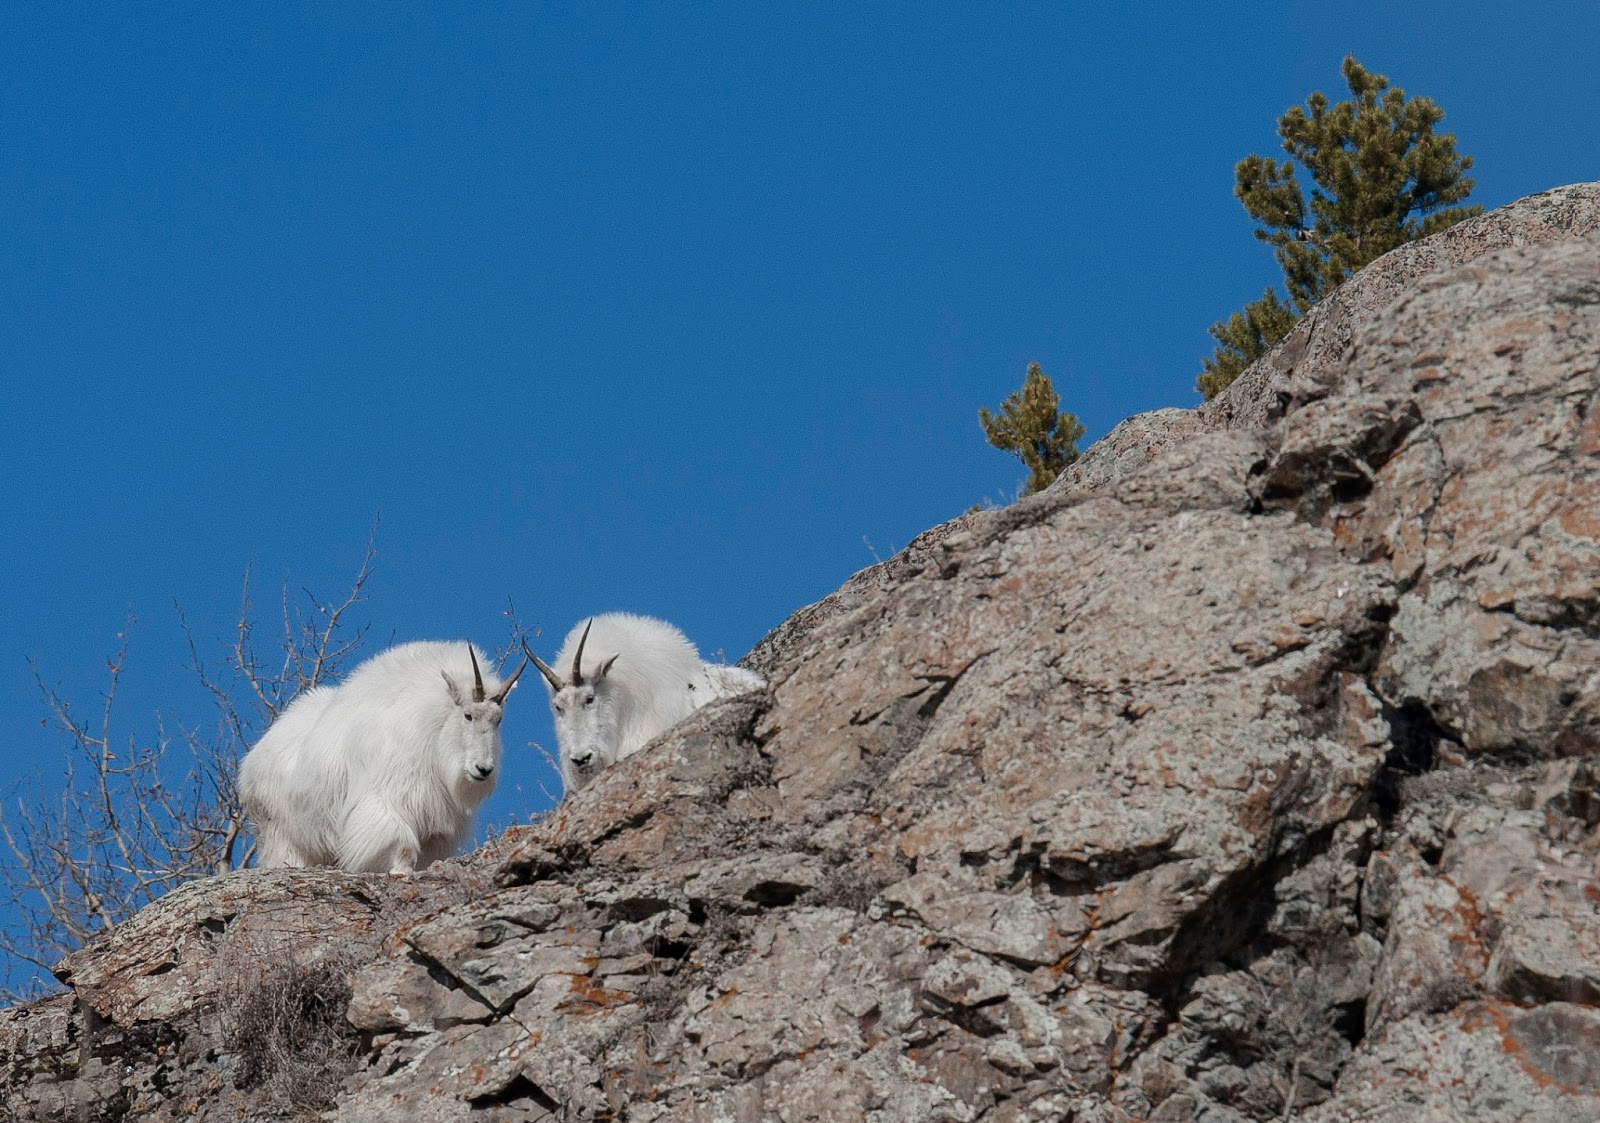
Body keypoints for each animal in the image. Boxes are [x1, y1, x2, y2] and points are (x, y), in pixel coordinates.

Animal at [239, 640, 527, 874]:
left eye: (498, 720)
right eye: (468, 715)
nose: (483, 770)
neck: (433, 726)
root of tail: (250, 762)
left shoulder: (435, 823)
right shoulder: (387, 799)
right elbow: (401, 844)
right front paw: (401, 872)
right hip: (280, 831)